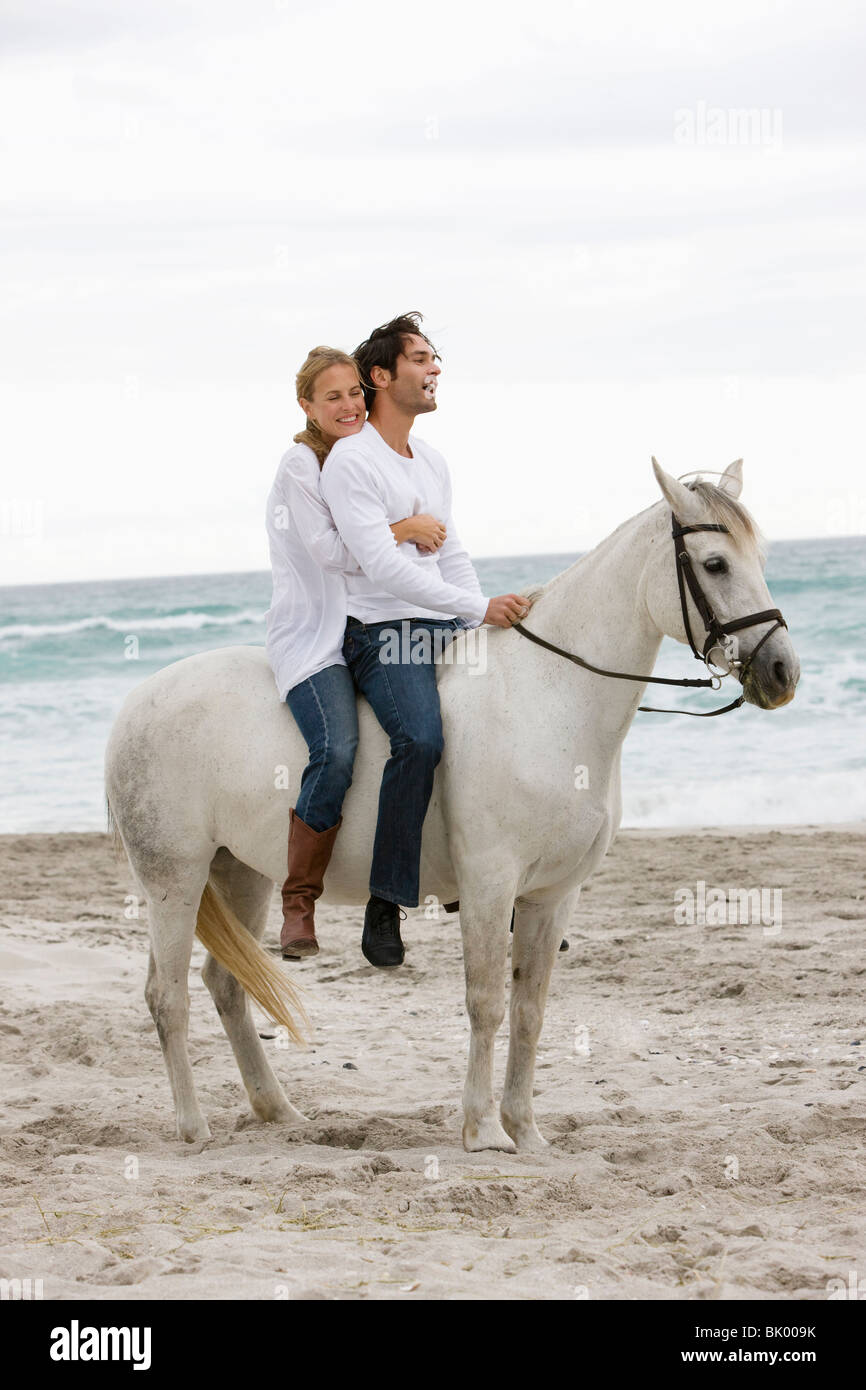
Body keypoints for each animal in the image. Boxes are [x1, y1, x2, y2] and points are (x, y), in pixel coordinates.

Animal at [104, 459, 799, 1150]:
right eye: (715, 564)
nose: (783, 672)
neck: (548, 698)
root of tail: (134, 703)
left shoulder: (552, 895)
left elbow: (529, 1009)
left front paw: (526, 1131)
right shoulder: (490, 883)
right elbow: (486, 1001)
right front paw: (483, 1129)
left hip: (240, 873)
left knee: (225, 984)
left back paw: (277, 1110)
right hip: (174, 878)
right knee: (166, 995)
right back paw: (193, 1127)